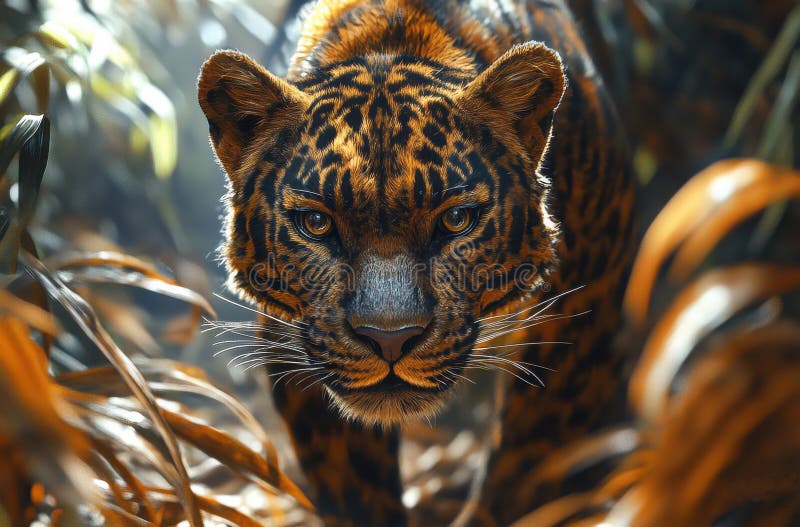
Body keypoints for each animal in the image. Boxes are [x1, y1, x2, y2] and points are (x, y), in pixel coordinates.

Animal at [197, 0, 635, 525]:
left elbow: (526, 470)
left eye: (456, 220)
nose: (390, 339)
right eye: (317, 224)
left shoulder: (583, 316)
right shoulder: (295, 341)